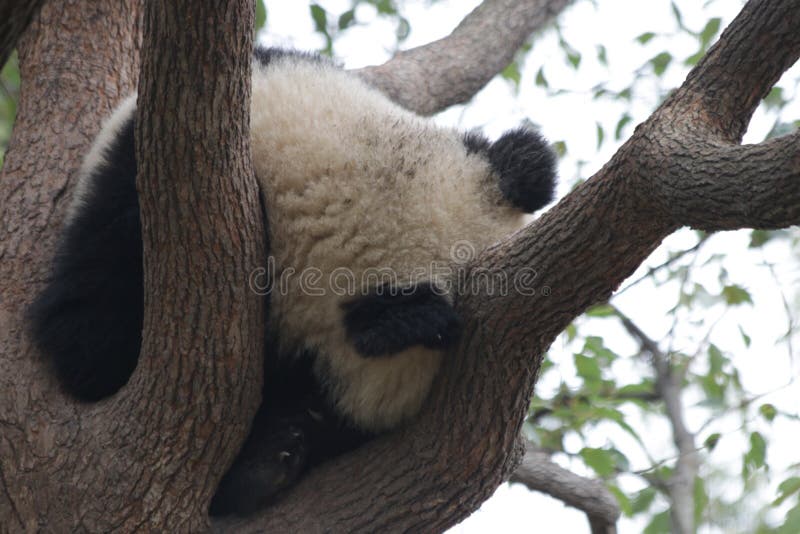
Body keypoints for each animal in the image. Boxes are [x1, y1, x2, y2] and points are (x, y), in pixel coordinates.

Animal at [27, 47, 557, 515]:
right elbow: (88, 344)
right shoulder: (147, 166)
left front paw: (271, 455)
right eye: (325, 399)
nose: (310, 427)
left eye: (330, 414)